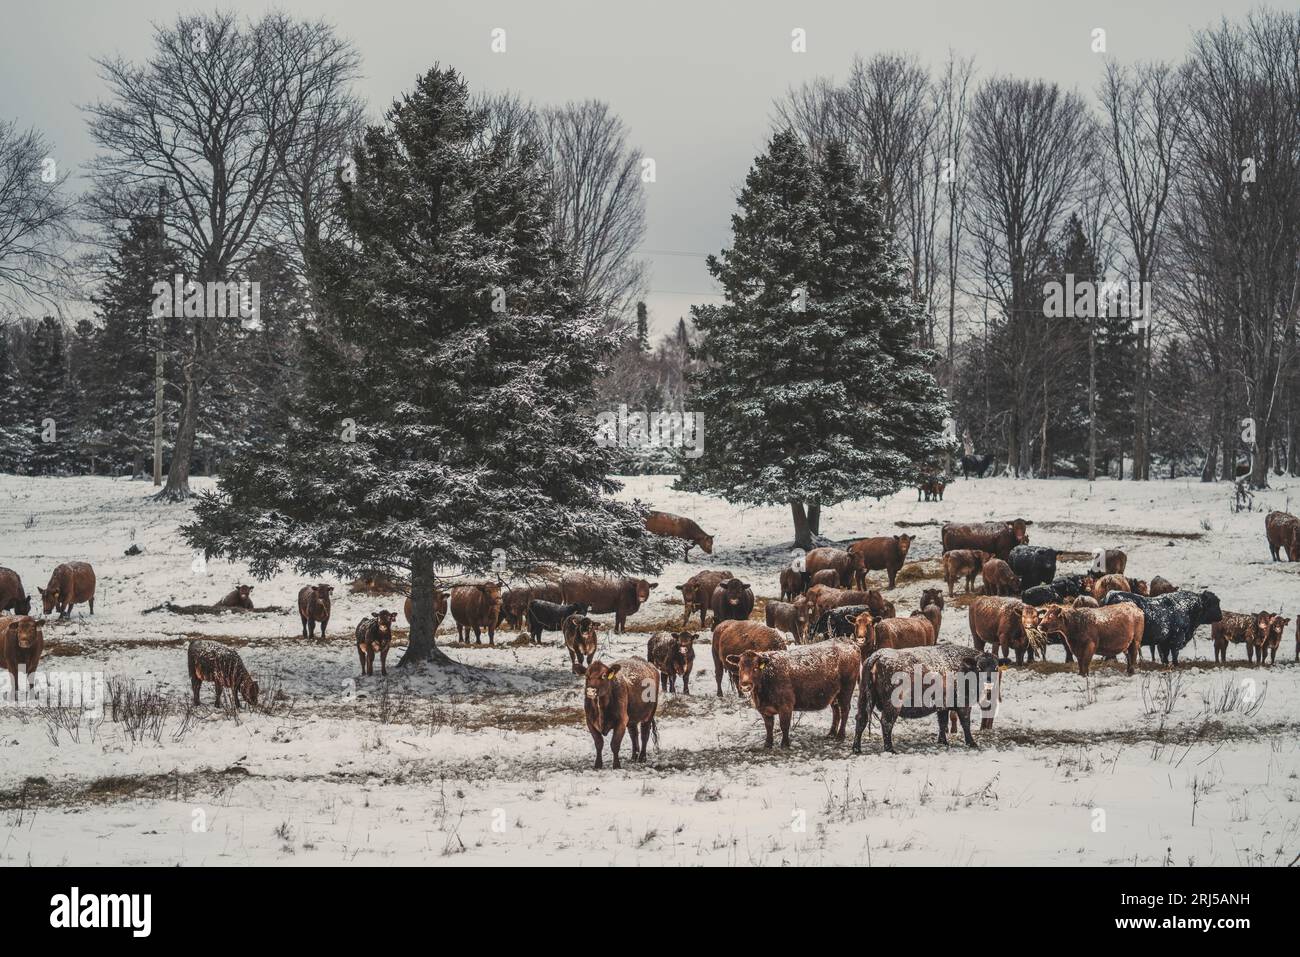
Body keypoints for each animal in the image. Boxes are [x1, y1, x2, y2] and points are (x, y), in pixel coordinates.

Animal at [727, 640, 860, 748]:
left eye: (755, 668)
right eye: (740, 667)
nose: (745, 684)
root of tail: (850, 643)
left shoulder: (786, 706)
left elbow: (784, 725)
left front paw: (785, 744)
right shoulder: (765, 710)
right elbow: (768, 727)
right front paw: (768, 744)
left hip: (846, 690)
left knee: (845, 710)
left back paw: (840, 736)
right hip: (834, 694)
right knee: (836, 711)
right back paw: (831, 733)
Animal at [853, 644, 1000, 754]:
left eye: (996, 667)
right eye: (979, 667)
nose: (989, 681)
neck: (963, 666)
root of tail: (877, 656)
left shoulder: (943, 707)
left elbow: (943, 723)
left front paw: (943, 741)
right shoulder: (964, 704)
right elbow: (965, 724)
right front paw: (972, 743)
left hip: (863, 698)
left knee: (861, 719)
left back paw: (856, 749)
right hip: (892, 705)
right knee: (886, 723)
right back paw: (890, 749)